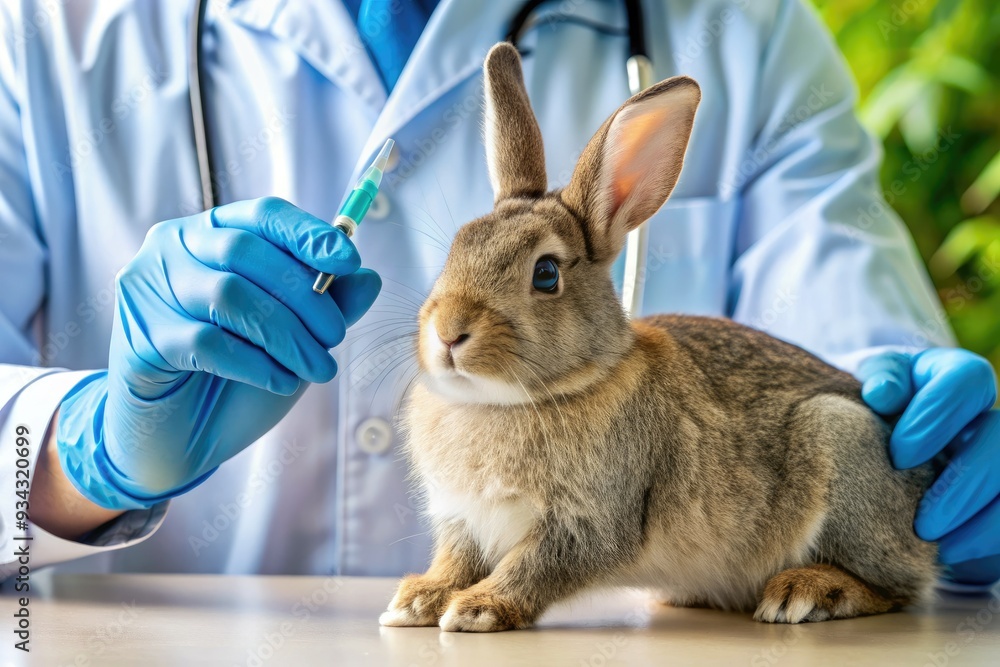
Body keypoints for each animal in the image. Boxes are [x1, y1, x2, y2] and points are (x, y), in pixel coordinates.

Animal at [379, 42, 938, 633]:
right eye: (457, 247)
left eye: (546, 274)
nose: (449, 332)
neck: (509, 400)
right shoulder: (463, 519)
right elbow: (455, 560)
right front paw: (416, 600)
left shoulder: (589, 522)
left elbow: (534, 566)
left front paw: (478, 609)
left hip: (841, 445)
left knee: (897, 587)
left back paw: (803, 593)